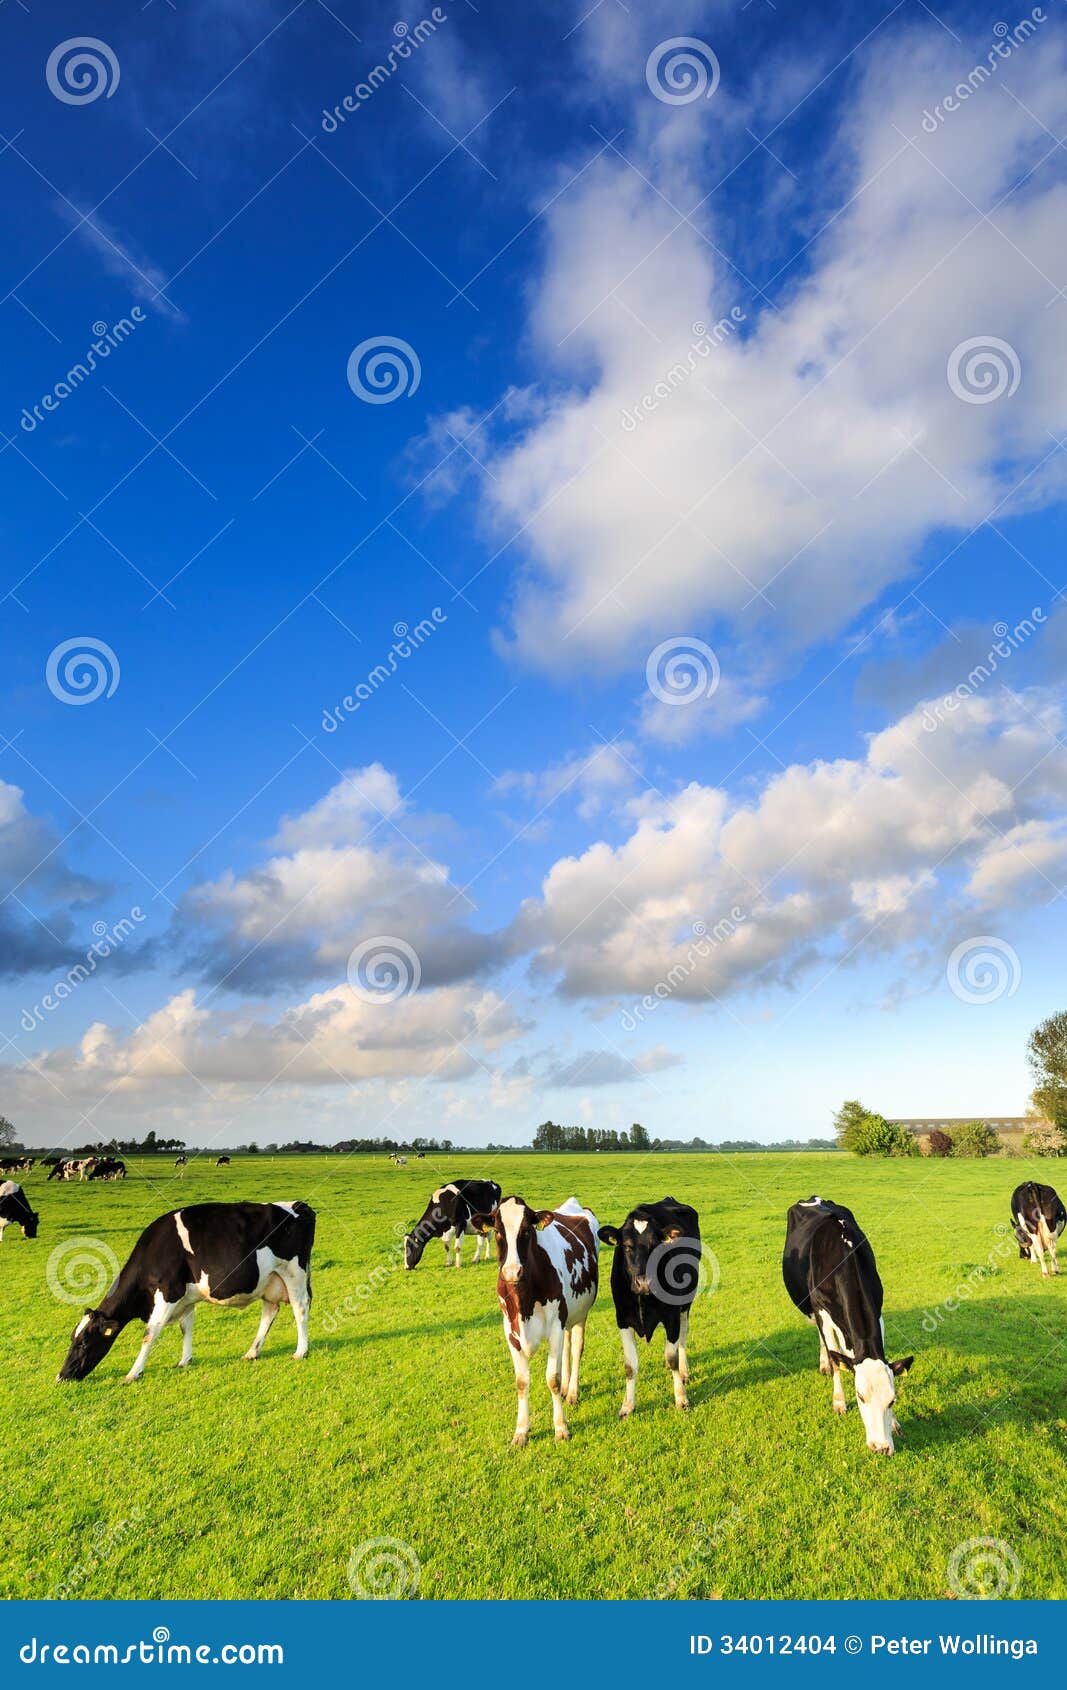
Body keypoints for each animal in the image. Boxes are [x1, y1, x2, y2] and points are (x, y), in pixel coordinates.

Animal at [57, 1200, 316, 1384]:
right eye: (72, 1339)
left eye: (83, 1343)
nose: (61, 1376)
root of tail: (299, 1205)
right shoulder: (187, 1298)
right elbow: (186, 1327)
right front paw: (184, 1361)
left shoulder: (168, 1292)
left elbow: (150, 1333)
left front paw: (133, 1373)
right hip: (268, 1280)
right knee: (269, 1311)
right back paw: (252, 1352)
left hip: (294, 1272)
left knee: (300, 1307)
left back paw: (300, 1352)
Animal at [478, 1195, 599, 1447]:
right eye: (498, 1231)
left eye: (527, 1230)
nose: (512, 1272)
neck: (523, 1300)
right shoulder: (511, 1333)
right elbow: (522, 1382)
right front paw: (521, 1432)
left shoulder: (554, 1326)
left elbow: (552, 1379)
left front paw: (561, 1428)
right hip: (567, 1317)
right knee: (566, 1349)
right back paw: (567, 1388)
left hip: (580, 1313)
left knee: (576, 1349)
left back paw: (572, 1392)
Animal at [599, 1196, 700, 1417]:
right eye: (626, 1247)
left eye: (655, 1246)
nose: (644, 1283)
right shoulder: (622, 1319)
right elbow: (630, 1365)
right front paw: (627, 1406)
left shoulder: (672, 1316)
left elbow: (671, 1357)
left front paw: (681, 1398)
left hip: (686, 1302)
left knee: (683, 1336)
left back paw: (684, 1371)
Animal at [783, 1196, 913, 1455]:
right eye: (859, 1396)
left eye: (892, 1400)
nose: (880, 1447)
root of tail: (812, 1198)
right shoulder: (822, 1311)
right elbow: (836, 1363)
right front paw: (839, 1402)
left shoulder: (878, 1312)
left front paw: (895, 1423)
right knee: (824, 1341)